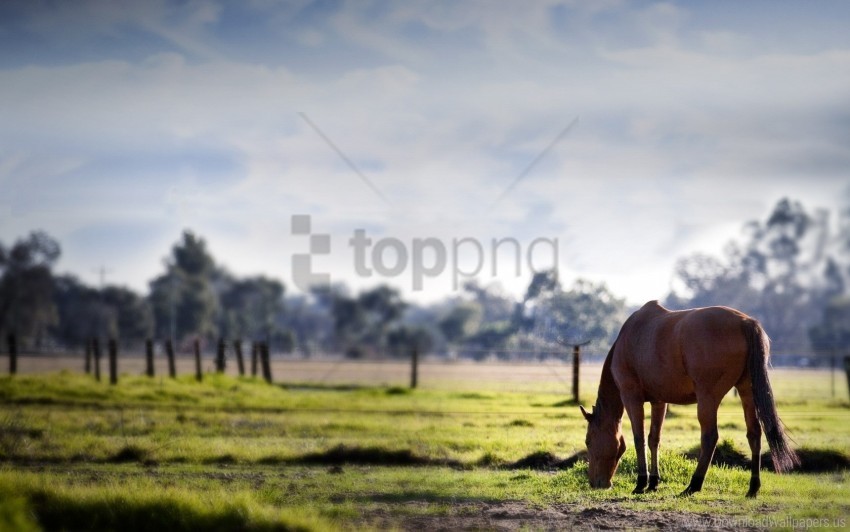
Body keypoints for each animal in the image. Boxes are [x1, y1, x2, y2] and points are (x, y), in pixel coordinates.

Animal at [581, 300, 798, 497]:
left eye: (588, 441)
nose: (595, 483)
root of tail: (746, 322)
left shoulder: (631, 397)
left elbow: (639, 438)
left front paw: (641, 483)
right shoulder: (659, 401)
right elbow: (654, 439)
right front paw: (653, 482)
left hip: (707, 398)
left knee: (710, 437)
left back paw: (694, 484)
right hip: (746, 391)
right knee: (754, 434)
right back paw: (753, 487)